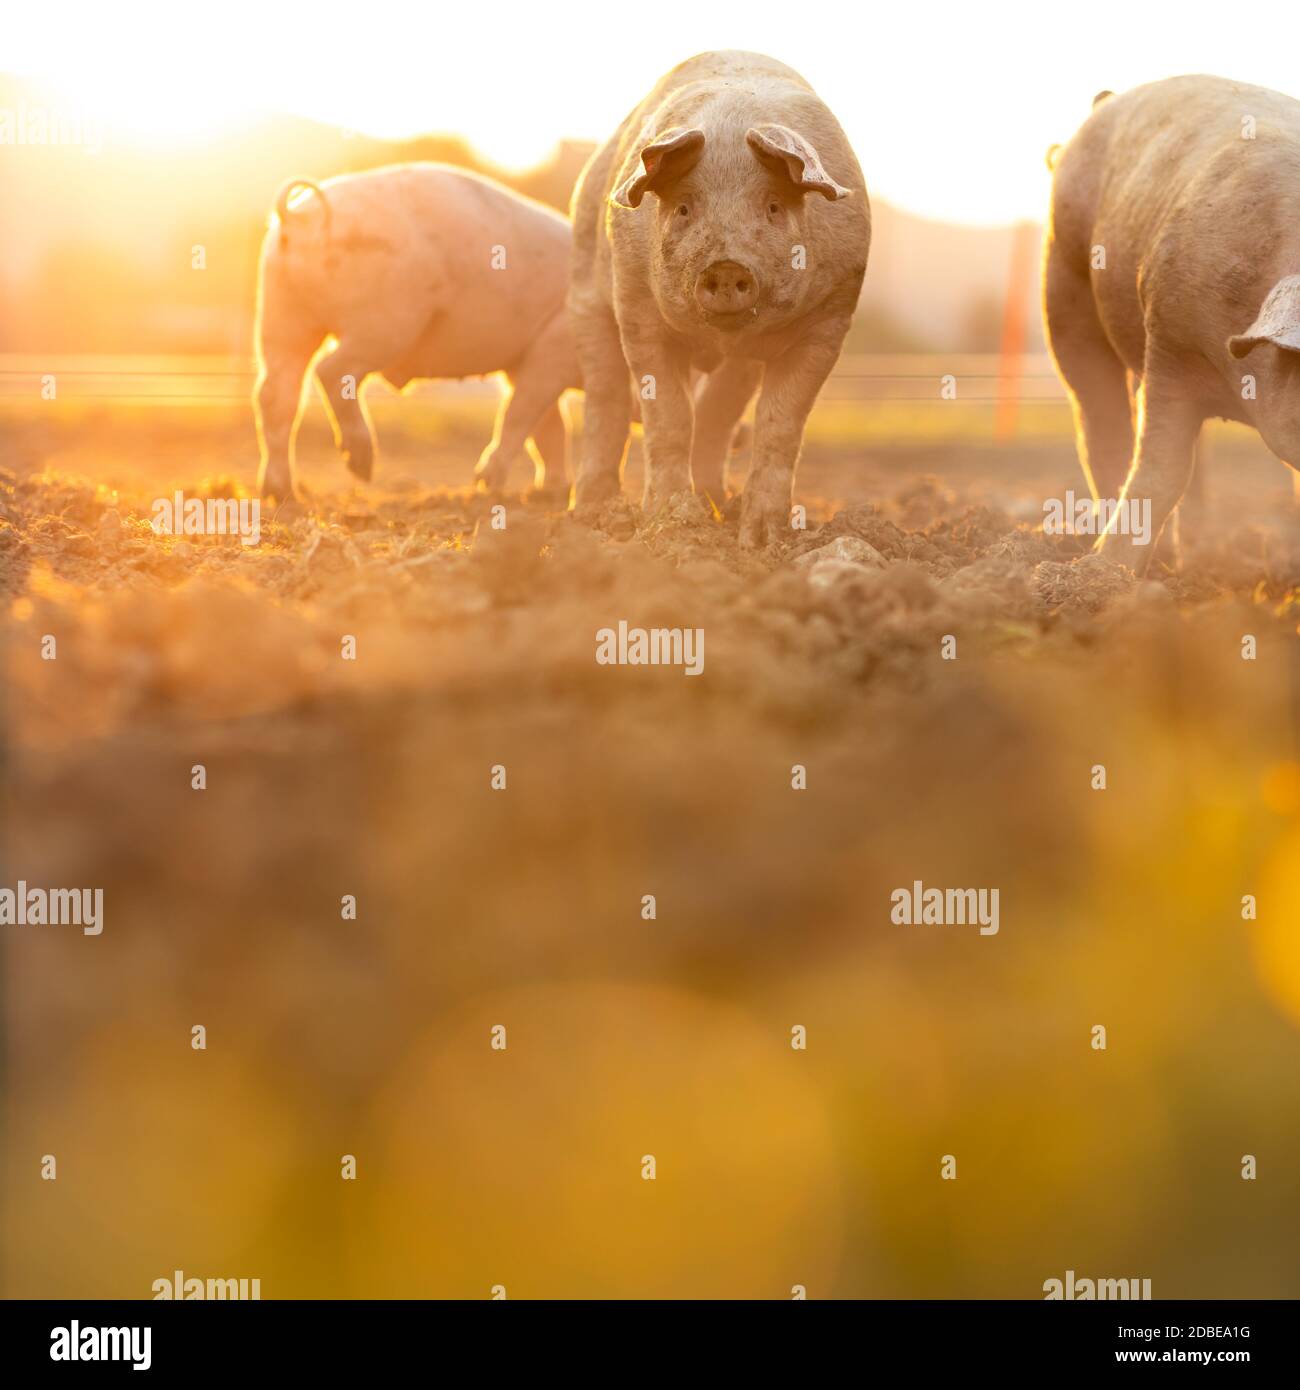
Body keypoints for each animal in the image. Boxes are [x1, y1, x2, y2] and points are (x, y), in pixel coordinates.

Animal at [254, 164, 581, 500]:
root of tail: (301, 216)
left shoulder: (522, 362)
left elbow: (551, 426)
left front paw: (552, 490)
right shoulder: (555, 343)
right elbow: (522, 412)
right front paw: (487, 485)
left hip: (281, 315)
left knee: (276, 394)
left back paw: (280, 493)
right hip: (384, 322)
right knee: (331, 370)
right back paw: (363, 465)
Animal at [568, 51, 870, 547]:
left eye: (773, 206)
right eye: (684, 208)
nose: (727, 266)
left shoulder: (831, 318)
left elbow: (781, 423)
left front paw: (763, 541)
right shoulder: (637, 308)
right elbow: (669, 417)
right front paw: (669, 526)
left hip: (744, 362)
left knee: (718, 413)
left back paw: (717, 505)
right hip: (586, 292)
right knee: (604, 398)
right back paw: (592, 511)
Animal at [1044, 75, 1300, 572]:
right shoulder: (1169, 336)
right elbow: (1161, 472)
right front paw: (1107, 573)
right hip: (1063, 279)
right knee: (1100, 421)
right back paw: (1113, 563)